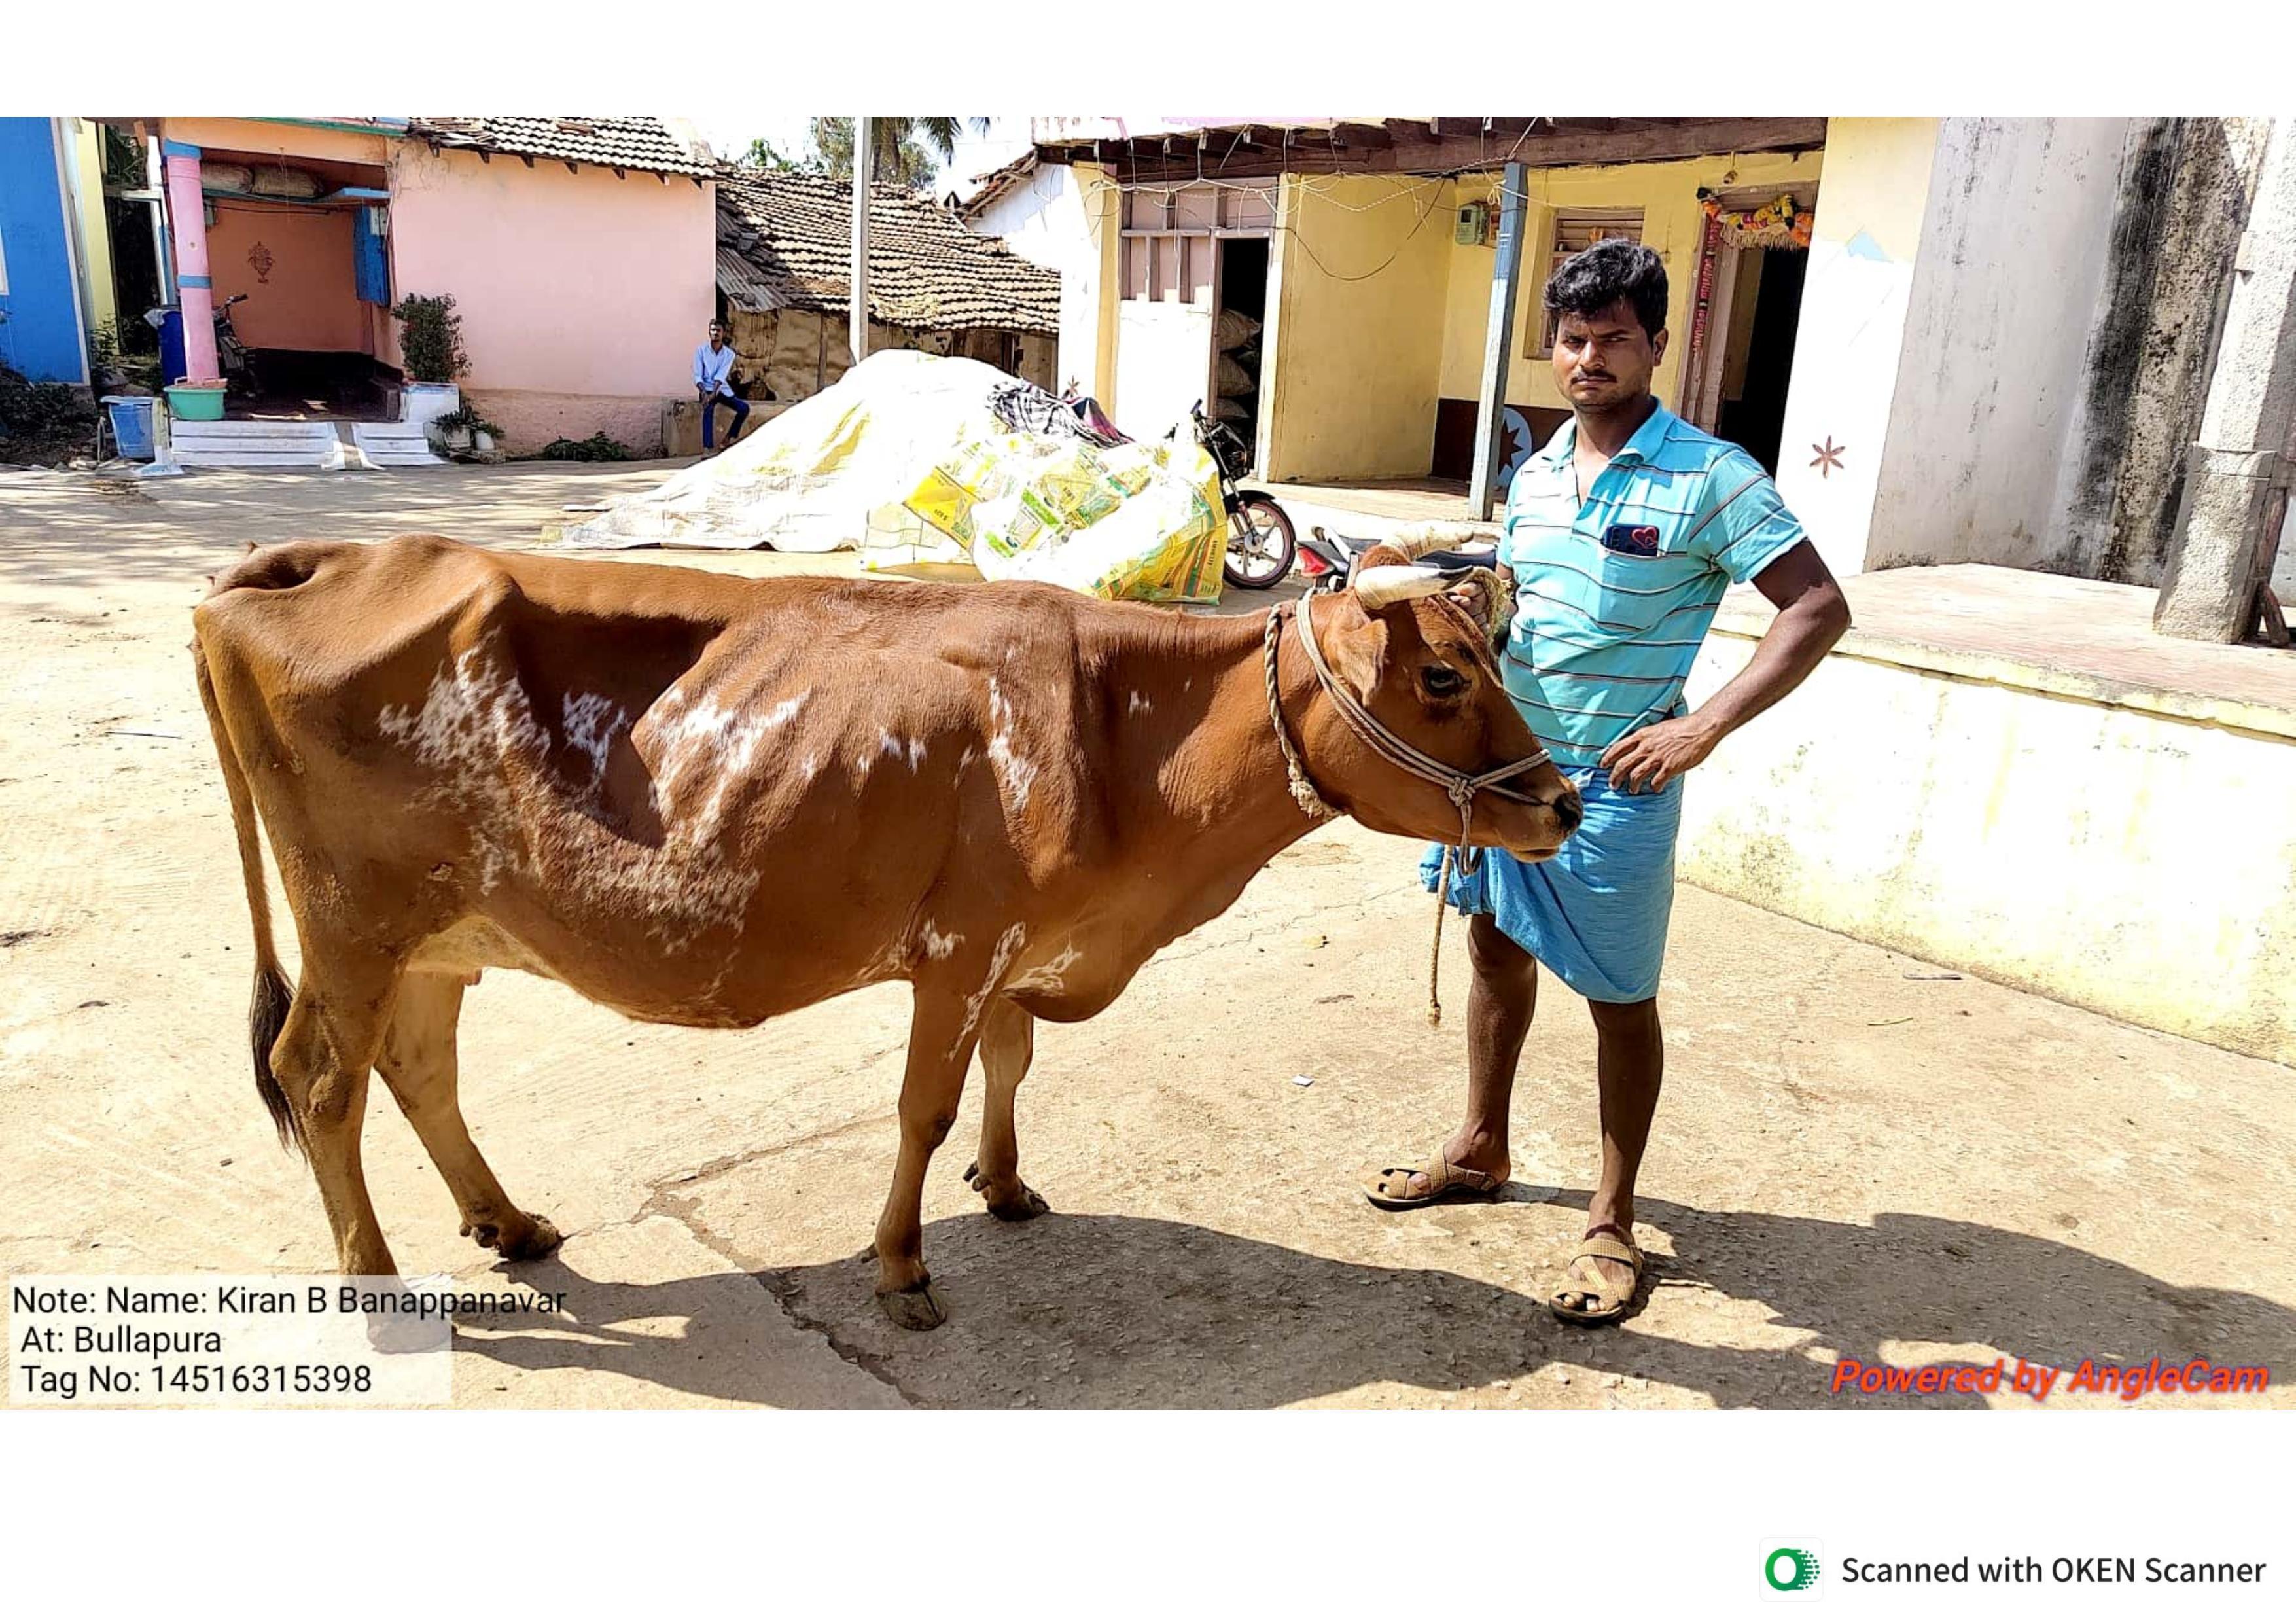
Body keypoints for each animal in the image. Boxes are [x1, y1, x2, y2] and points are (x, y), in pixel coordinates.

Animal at [192, 533, 1581, 1329]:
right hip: (354, 919)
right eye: (1443, 675)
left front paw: (1006, 1185)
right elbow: (925, 1106)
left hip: (446, 926)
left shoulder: (1025, 945)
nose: (1563, 802)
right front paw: (902, 1268)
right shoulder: (961, 952)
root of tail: (305, 560)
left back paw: (509, 1222)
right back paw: (375, 1284)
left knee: (416, 1066)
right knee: (318, 1079)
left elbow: (1013, 1065)